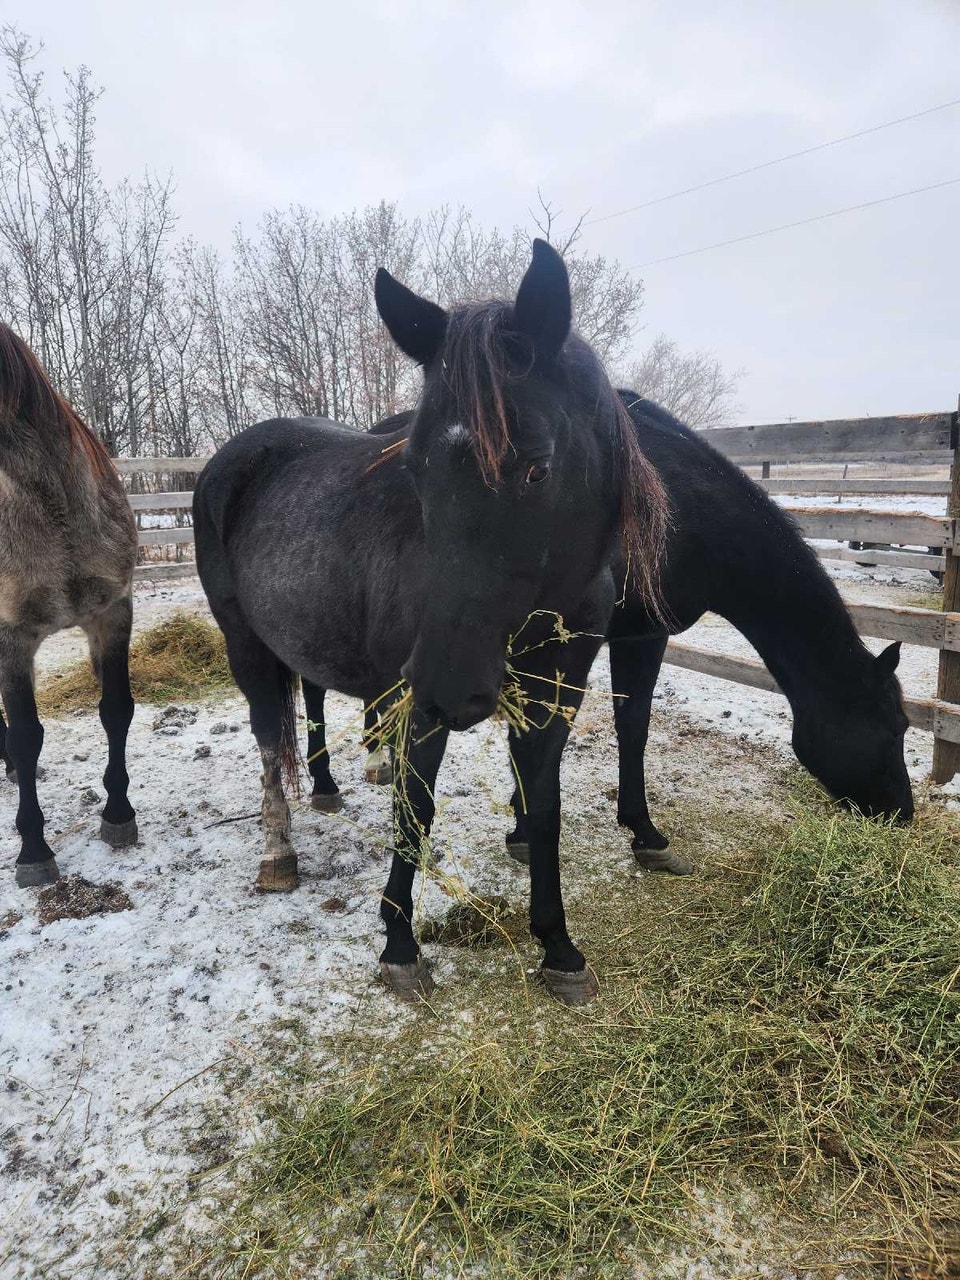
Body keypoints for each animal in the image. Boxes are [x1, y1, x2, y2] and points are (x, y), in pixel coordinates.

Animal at [192, 239, 669, 1005]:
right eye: (414, 469)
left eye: (537, 470)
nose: (451, 684)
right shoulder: (419, 702)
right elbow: (415, 807)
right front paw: (399, 945)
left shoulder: (553, 695)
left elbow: (542, 808)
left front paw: (558, 947)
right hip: (245, 642)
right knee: (268, 739)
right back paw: (278, 853)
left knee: (312, 700)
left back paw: (326, 790)